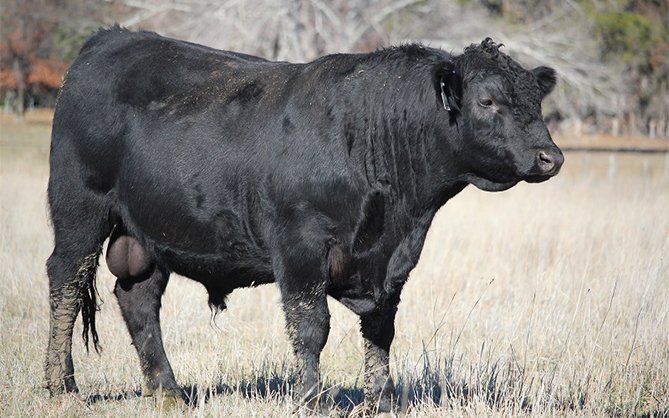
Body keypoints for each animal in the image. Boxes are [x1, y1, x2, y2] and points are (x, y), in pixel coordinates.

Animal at [44, 27, 563, 413]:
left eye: (536, 102)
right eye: (487, 102)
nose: (550, 157)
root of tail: (109, 39)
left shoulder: (392, 261)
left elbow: (381, 329)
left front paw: (382, 400)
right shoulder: (300, 248)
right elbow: (311, 326)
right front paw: (312, 399)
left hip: (147, 235)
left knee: (139, 298)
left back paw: (169, 392)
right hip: (79, 210)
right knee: (65, 284)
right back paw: (61, 388)